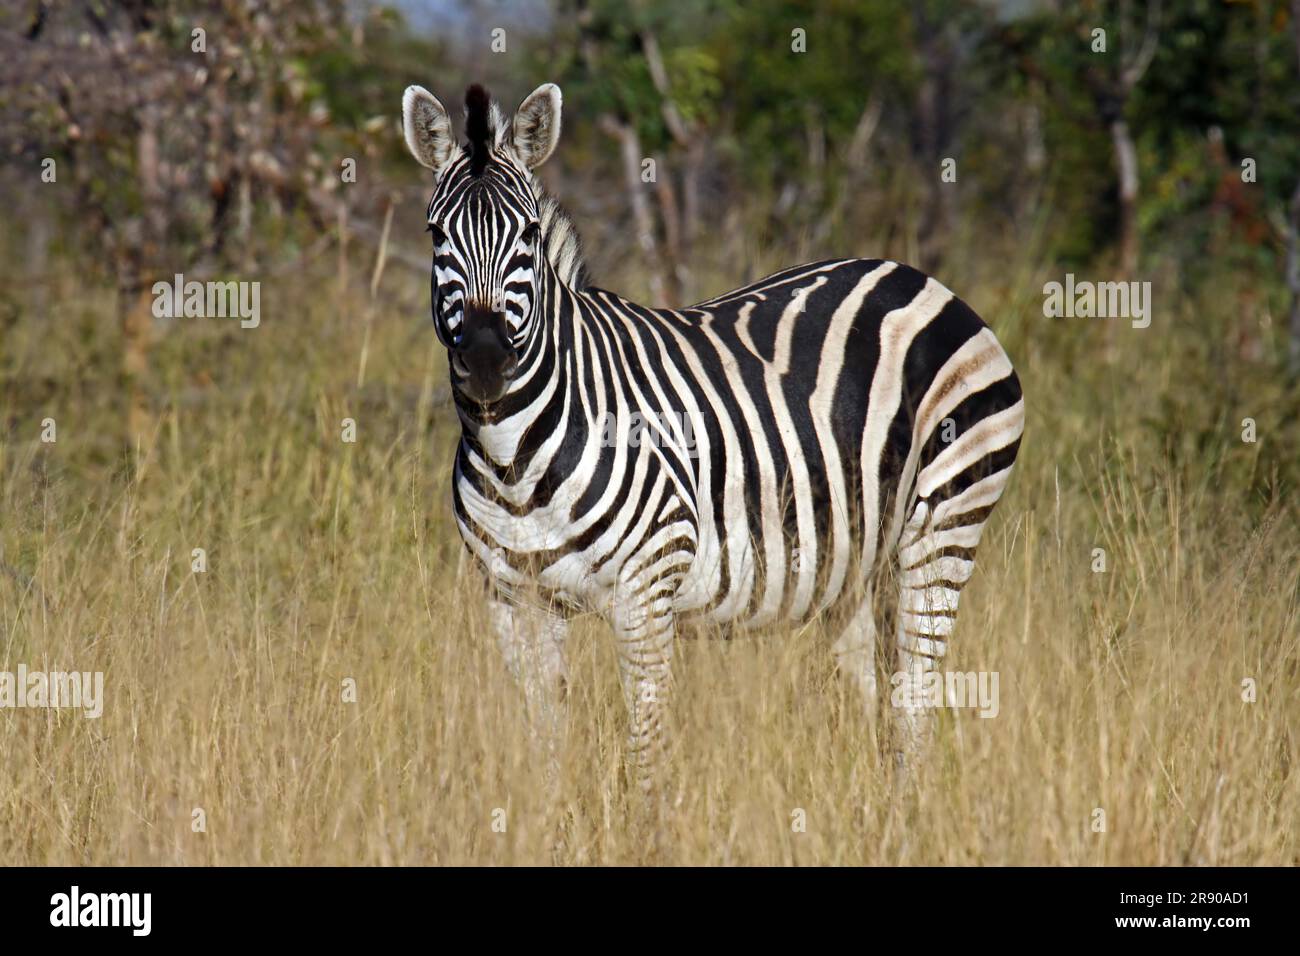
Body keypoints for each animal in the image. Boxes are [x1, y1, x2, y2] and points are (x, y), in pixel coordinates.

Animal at [402, 82, 1025, 789]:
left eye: (529, 234)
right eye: (435, 234)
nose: (484, 361)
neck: (516, 458)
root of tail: (920, 279)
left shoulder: (648, 587)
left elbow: (645, 750)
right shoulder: (513, 600)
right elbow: (546, 747)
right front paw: (547, 813)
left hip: (943, 522)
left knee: (916, 694)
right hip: (855, 561)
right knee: (877, 697)